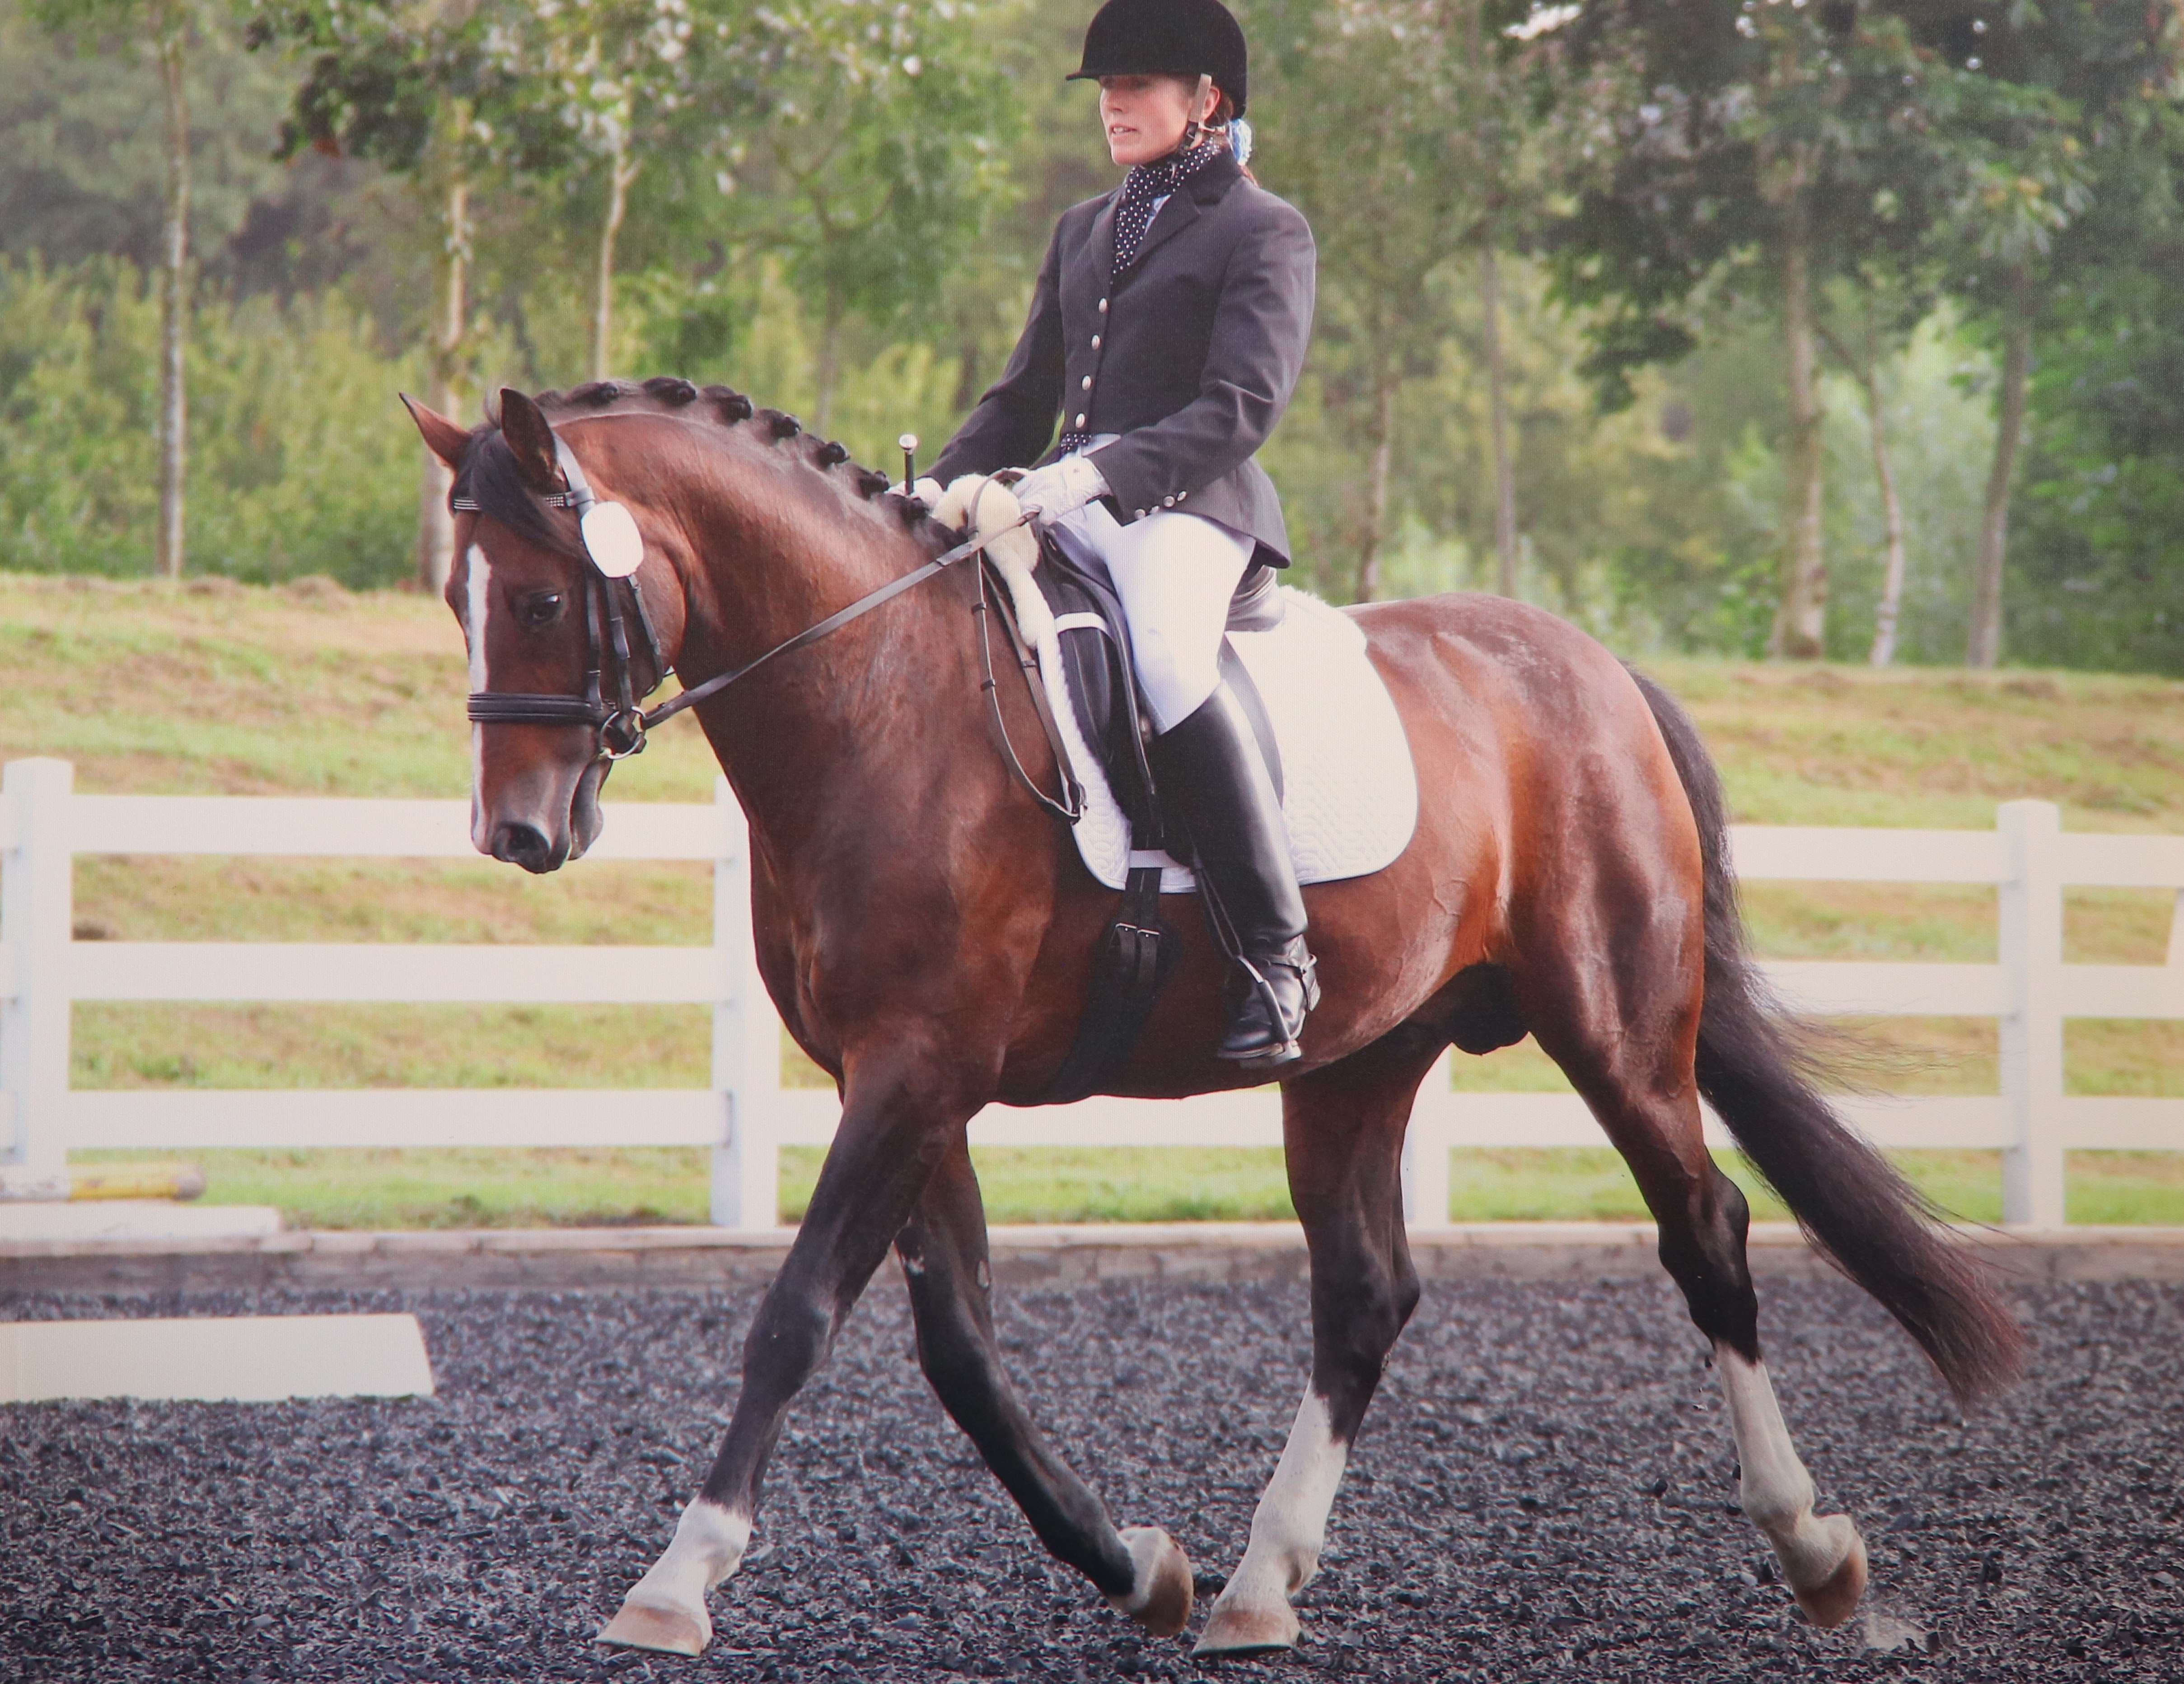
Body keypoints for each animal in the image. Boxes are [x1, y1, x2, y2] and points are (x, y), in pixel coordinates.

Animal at [404, 376, 2024, 1660]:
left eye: (539, 597)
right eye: (455, 600)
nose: (517, 834)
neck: (876, 696)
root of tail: (1591, 666)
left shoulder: (915, 1071)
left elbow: (797, 1313)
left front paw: (678, 1577)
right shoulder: (910, 1080)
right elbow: (961, 1351)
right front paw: (1140, 1567)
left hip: (1617, 1027)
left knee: (1706, 1233)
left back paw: (1814, 1550)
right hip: (1360, 1061)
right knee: (1364, 1292)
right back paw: (1258, 1581)